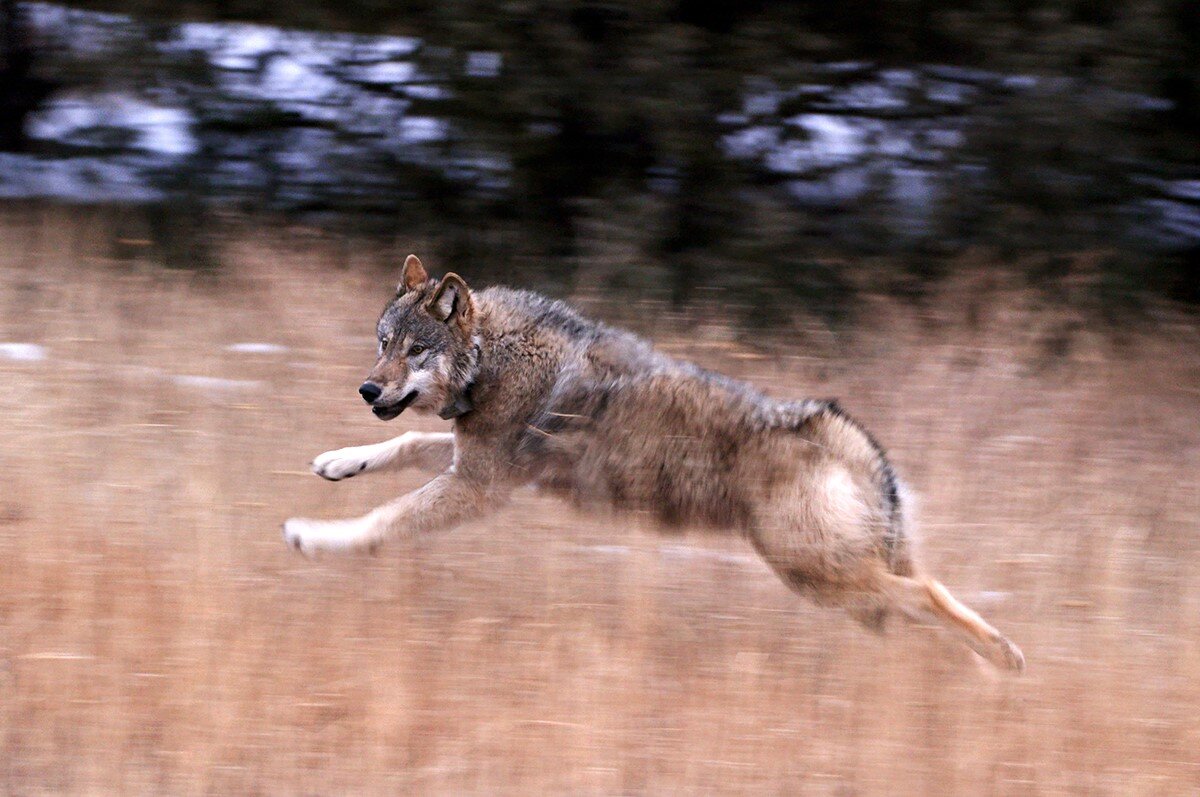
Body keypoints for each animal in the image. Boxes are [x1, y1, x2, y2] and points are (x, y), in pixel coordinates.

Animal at [283, 255, 1024, 672]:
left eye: (415, 351)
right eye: (383, 343)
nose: (367, 390)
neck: (493, 356)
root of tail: (840, 429)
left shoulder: (480, 486)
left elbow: (382, 521)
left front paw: (313, 538)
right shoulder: (472, 460)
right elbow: (403, 446)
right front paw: (338, 461)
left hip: (816, 575)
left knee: (929, 595)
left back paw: (1004, 660)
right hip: (842, 584)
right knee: (918, 601)